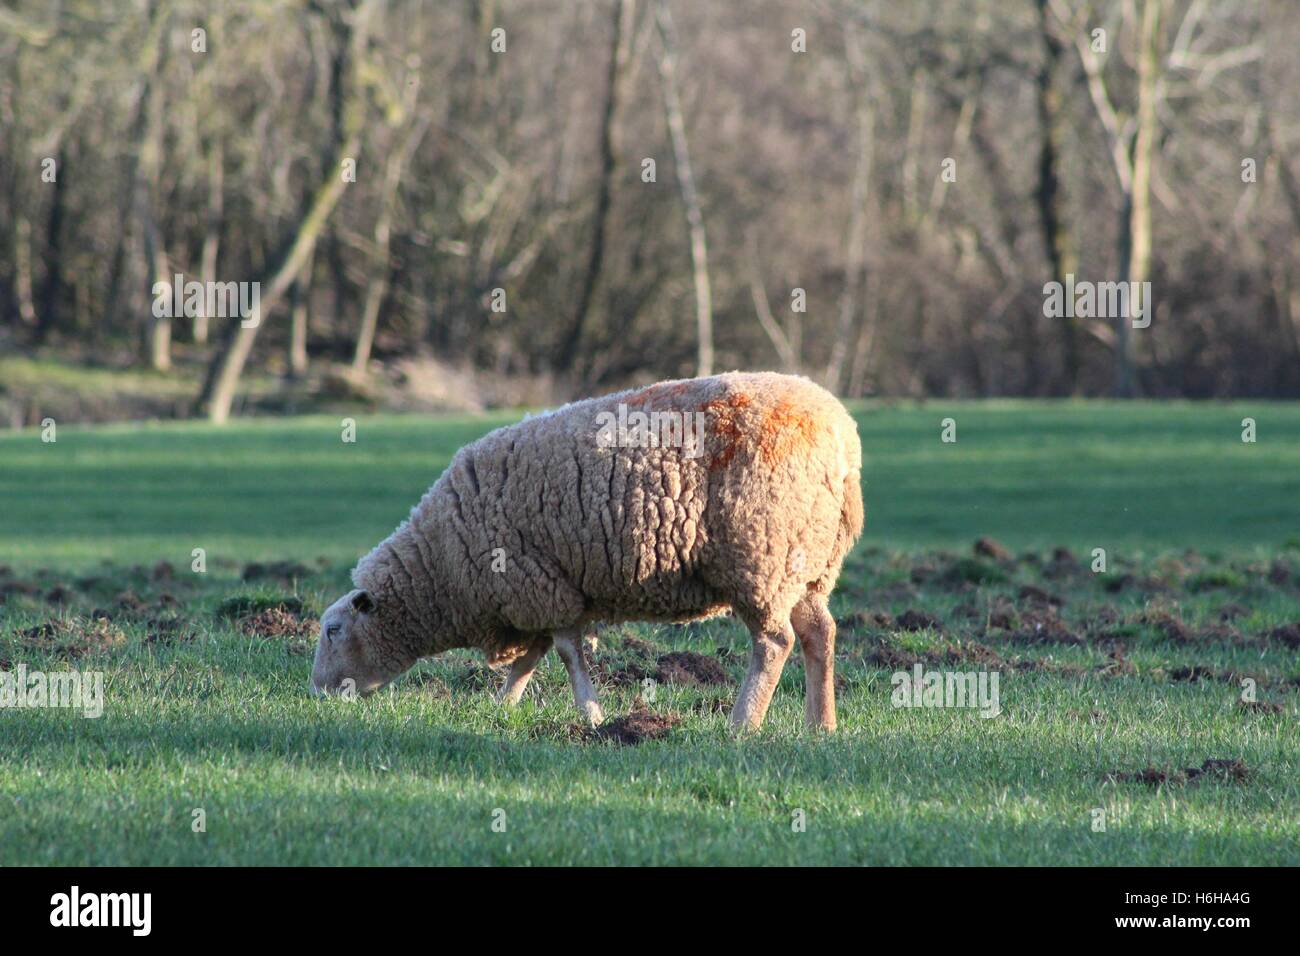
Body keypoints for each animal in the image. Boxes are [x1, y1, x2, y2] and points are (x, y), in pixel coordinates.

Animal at [311, 371, 864, 731]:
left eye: (333, 630)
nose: (316, 693)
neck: (443, 567)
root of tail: (843, 437)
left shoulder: (540, 583)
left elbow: (565, 653)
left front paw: (591, 716)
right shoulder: (537, 589)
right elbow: (532, 656)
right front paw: (505, 704)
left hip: (761, 555)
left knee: (775, 643)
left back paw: (742, 724)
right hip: (807, 563)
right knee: (819, 634)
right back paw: (821, 725)